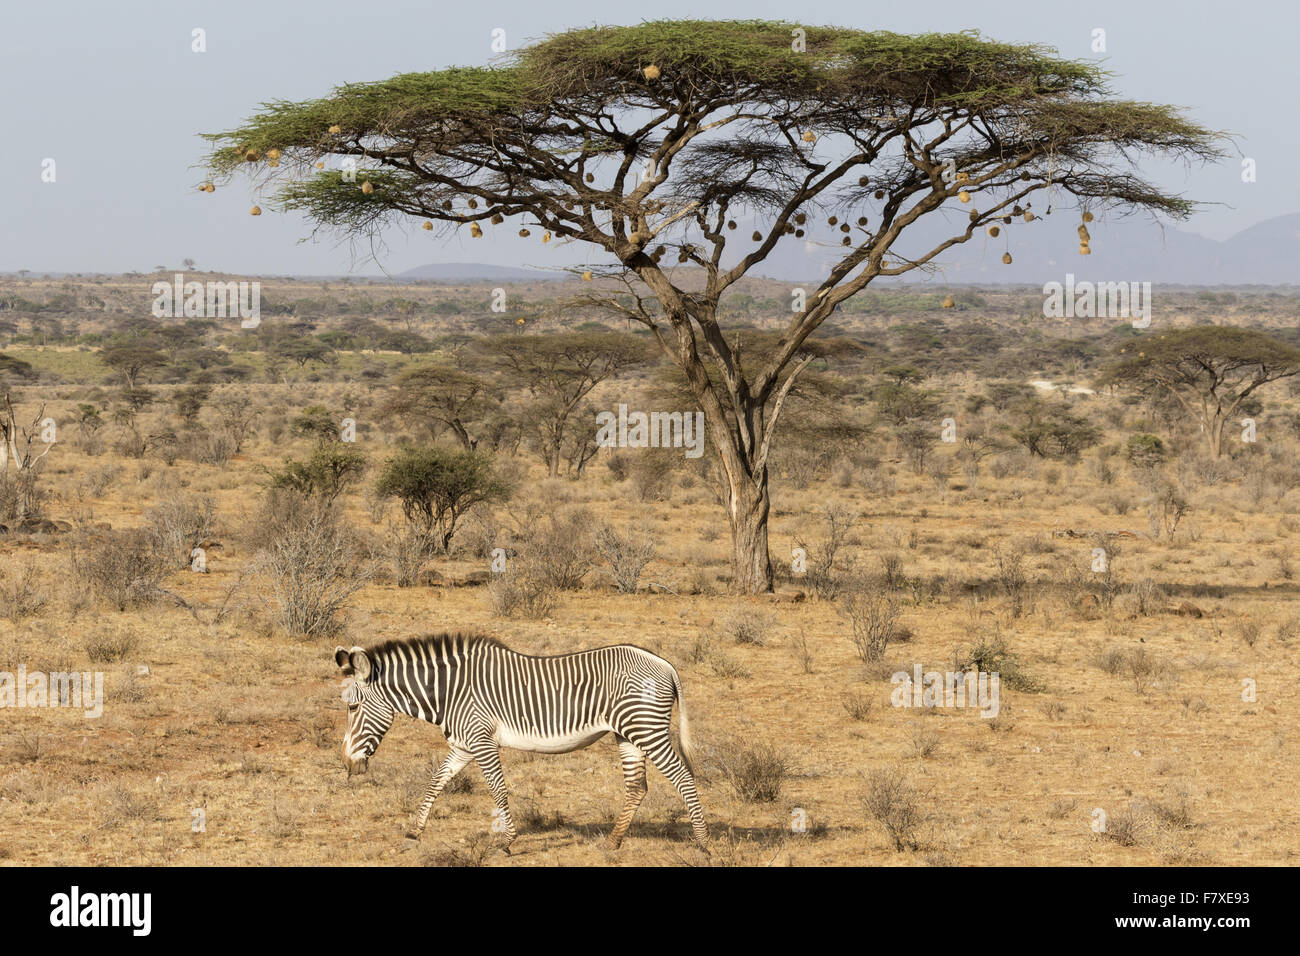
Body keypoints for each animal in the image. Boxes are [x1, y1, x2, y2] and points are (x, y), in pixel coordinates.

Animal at [334, 632, 709, 854]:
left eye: (352, 707)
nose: (347, 764)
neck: (450, 692)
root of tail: (665, 665)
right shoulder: (464, 744)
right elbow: (436, 781)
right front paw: (415, 832)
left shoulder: (482, 741)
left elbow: (498, 789)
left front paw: (507, 841)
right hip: (628, 732)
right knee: (637, 786)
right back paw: (613, 841)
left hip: (648, 729)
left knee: (684, 779)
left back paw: (703, 842)